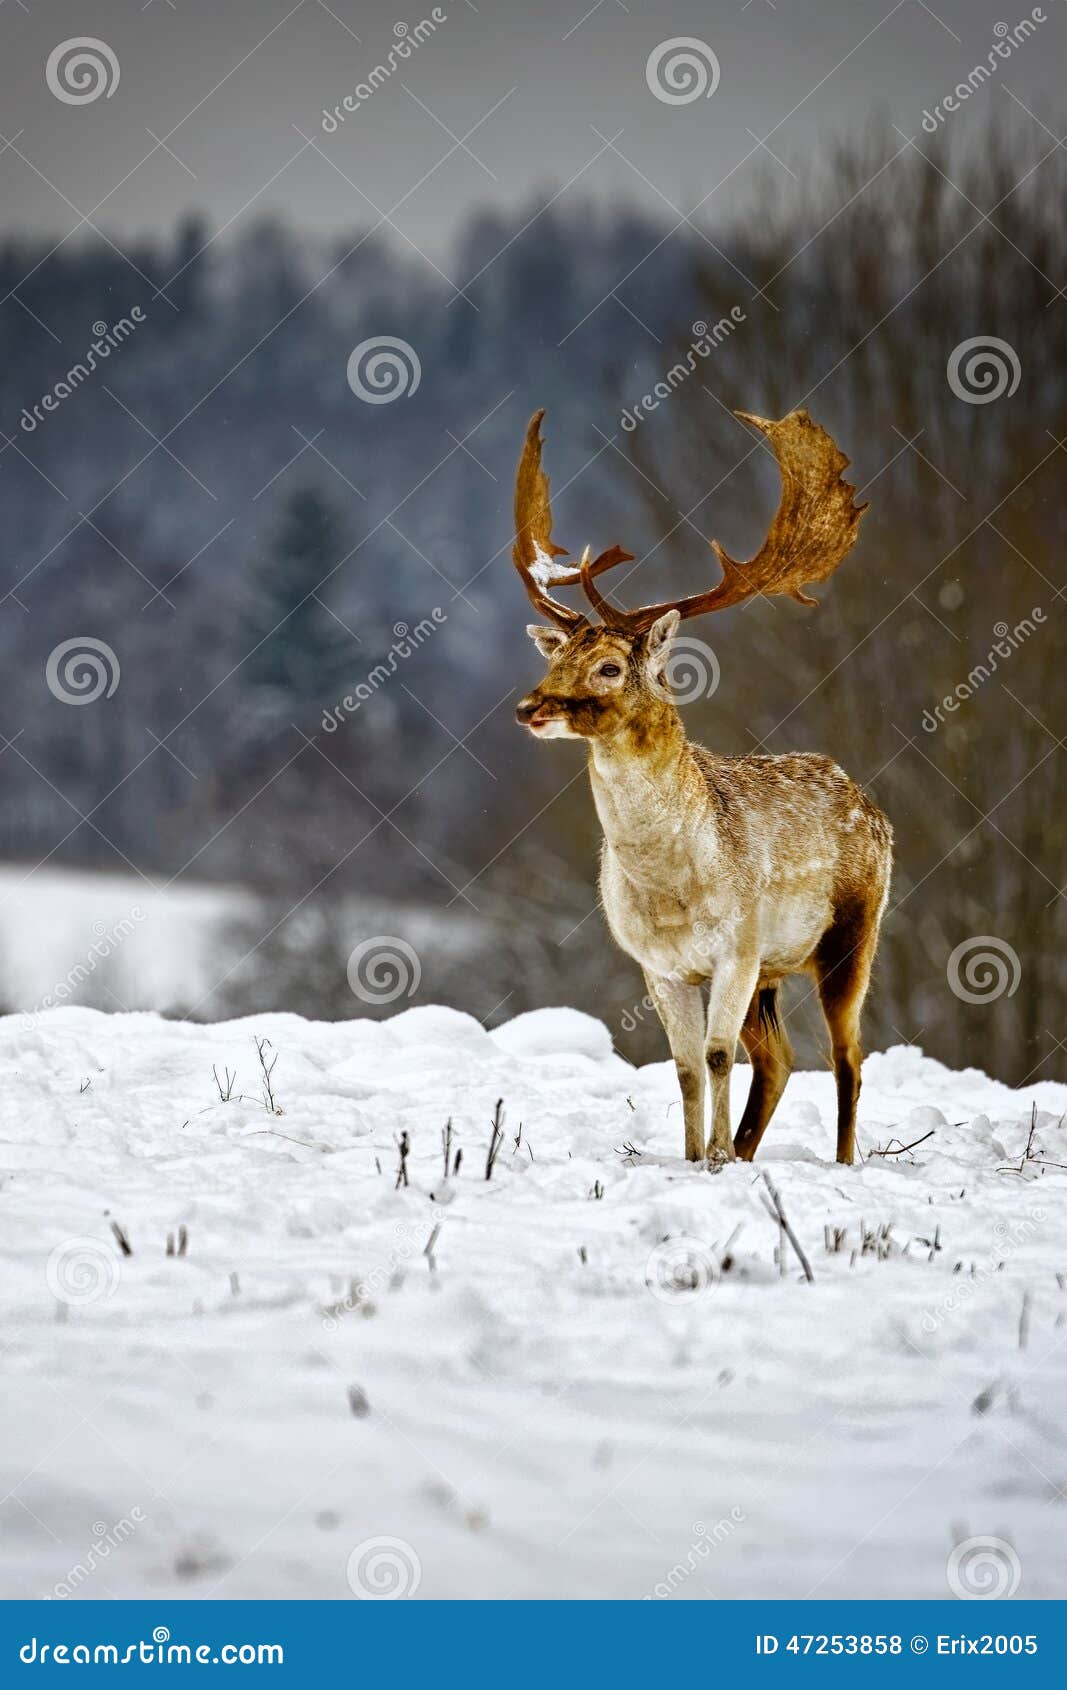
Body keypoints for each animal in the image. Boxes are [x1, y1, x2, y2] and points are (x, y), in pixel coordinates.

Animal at [513, 407, 892, 1166]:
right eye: (557, 656)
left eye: (608, 666)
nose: (530, 707)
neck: (671, 892)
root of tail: (875, 811)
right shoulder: (659, 966)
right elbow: (687, 1066)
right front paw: (696, 1157)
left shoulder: (736, 948)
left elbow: (717, 1057)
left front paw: (712, 1160)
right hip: (774, 972)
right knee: (778, 1056)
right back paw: (744, 1149)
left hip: (851, 931)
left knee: (846, 1055)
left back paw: (837, 1160)